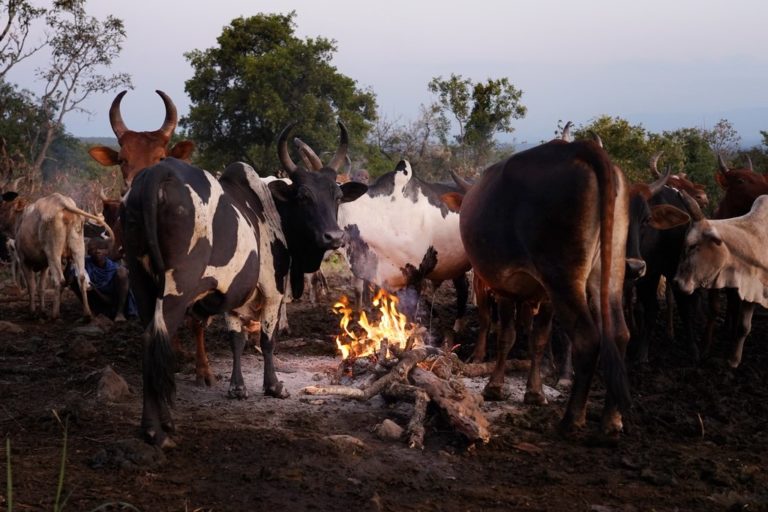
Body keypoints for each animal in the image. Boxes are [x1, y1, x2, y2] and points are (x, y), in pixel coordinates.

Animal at [121, 121, 366, 447]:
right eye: (304, 196)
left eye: (337, 196)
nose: (334, 237)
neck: (272, 207)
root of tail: (155, 176)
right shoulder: (273, 290)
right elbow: (267, 339)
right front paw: (273, 386)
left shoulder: (233, 293)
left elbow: (236, 339)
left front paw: (237, 387)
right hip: (175, 291)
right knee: (155, 340)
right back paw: (156, 429)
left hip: (142, 285)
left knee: (149, 342)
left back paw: (158, 423)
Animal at [458, 137, 632, 435]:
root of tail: (579, 147)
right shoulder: (543, 296)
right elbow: (537, 340)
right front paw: (535, 392)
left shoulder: (507, 288)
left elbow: (507, 336)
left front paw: (495, 387)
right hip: (610, 270)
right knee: (619, 334)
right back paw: (611, 420)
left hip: (562, 276)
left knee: (587, 338)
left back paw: (572, 420)